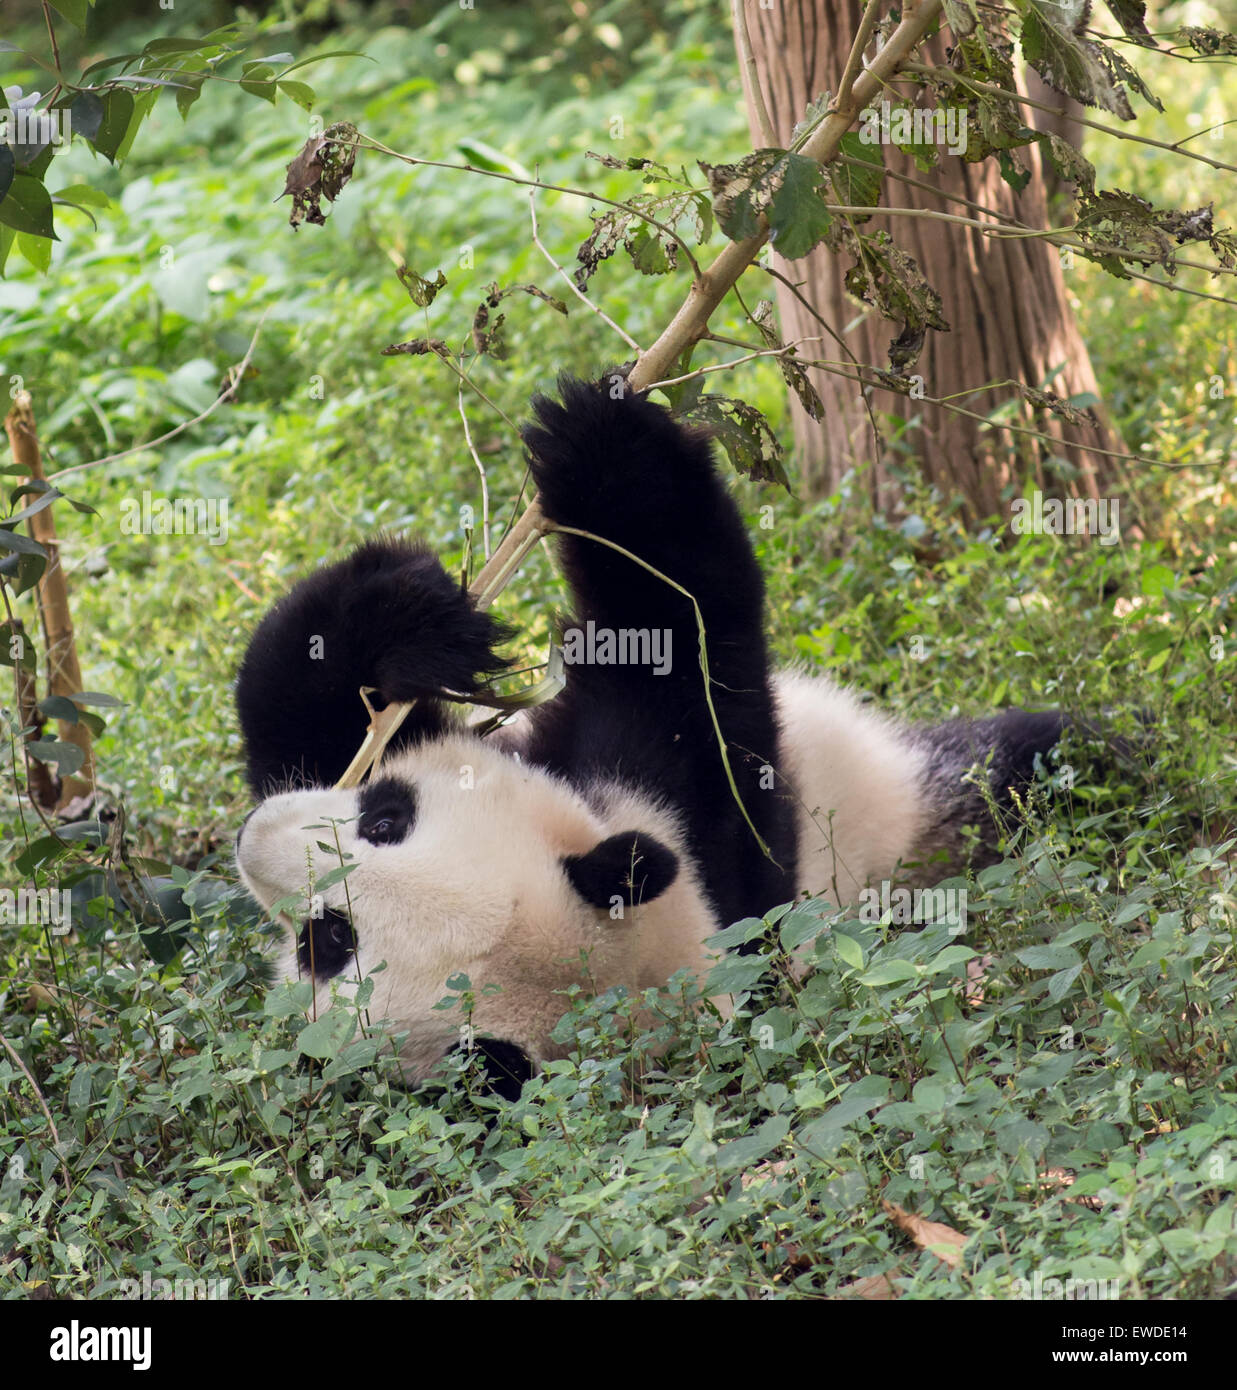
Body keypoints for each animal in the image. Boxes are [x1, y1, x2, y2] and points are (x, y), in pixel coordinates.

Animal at [234, 375, 1081, 1098]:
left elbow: (687, 637)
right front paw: (417, 622)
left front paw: (602, 445)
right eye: (387, 814)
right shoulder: (615, 782)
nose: (252, 840)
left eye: (326, 942)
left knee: (1024, 759)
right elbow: (304, 705)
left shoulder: (696, 824)